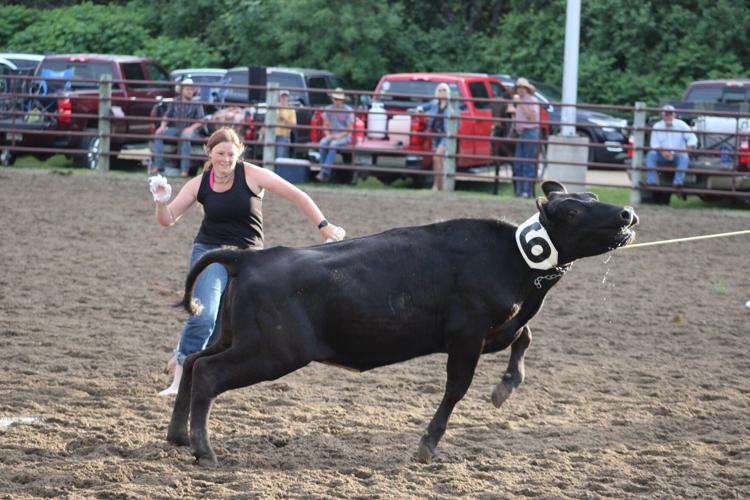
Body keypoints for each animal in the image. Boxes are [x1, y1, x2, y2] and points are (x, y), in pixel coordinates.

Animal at [166, 180, 638, 466]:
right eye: (573, 210)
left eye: (594, 196)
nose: (627, 215)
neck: (511, 256)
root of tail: (249, 258)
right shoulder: (466, 334)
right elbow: (456, 388)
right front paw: (427, 444)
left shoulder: (498, 329)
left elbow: (525, 337)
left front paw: (505, 387)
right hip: (272, 352)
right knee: (208, 373)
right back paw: (204, 450)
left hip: (238, 338)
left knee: (193, 362)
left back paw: (179, 436)